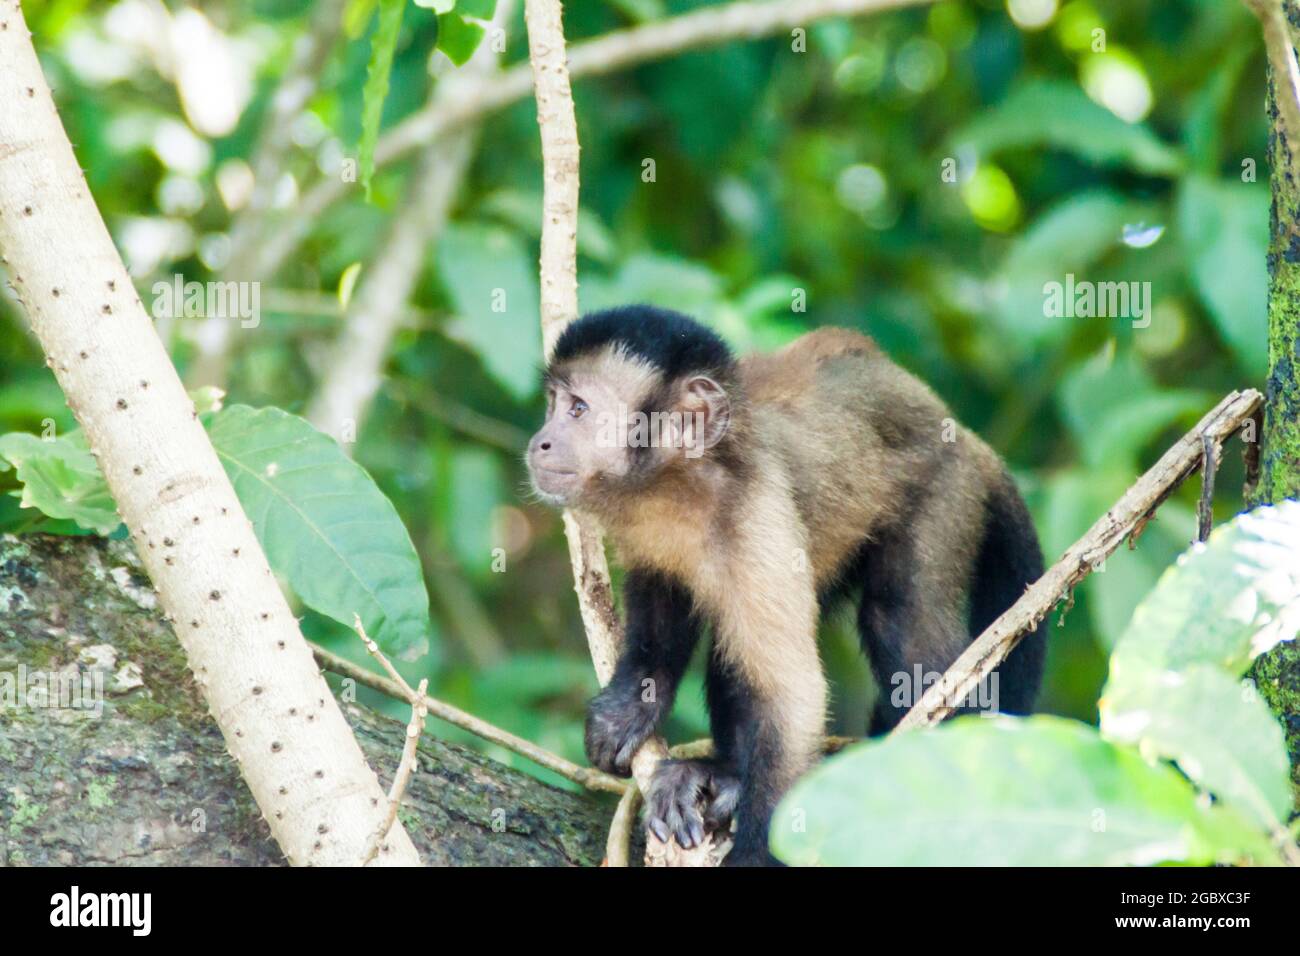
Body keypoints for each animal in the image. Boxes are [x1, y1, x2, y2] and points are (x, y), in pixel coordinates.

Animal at [526, 305, 1046, 866]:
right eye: (554, 404)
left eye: (579, 409)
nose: (541, 440)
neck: (688, 483)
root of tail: (961, 433)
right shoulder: (649, 523)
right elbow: (662, 596)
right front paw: (631, 705)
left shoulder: (757, 516)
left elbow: (792, 699)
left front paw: (756, 853)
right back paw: (721, 776)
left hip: (947, 491)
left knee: (902, 624)